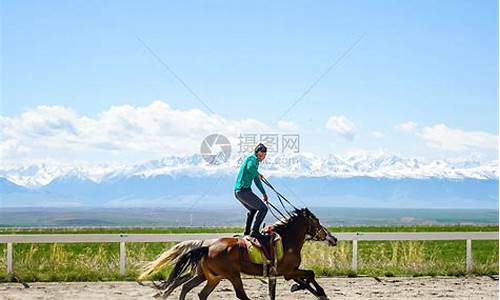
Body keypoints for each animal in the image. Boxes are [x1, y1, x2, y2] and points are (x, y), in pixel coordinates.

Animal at [139, 209, 338, 300]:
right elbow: (310, 274)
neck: (287, 239)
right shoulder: (288, 271)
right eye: (317, 221)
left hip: (212, 276)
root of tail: (207, 247)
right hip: (231, 274)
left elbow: (305, 278)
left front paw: (311, 290)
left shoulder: (282, 273)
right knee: (240, 294)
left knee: (192, 289)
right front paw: (316, 291)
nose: (333, 238)